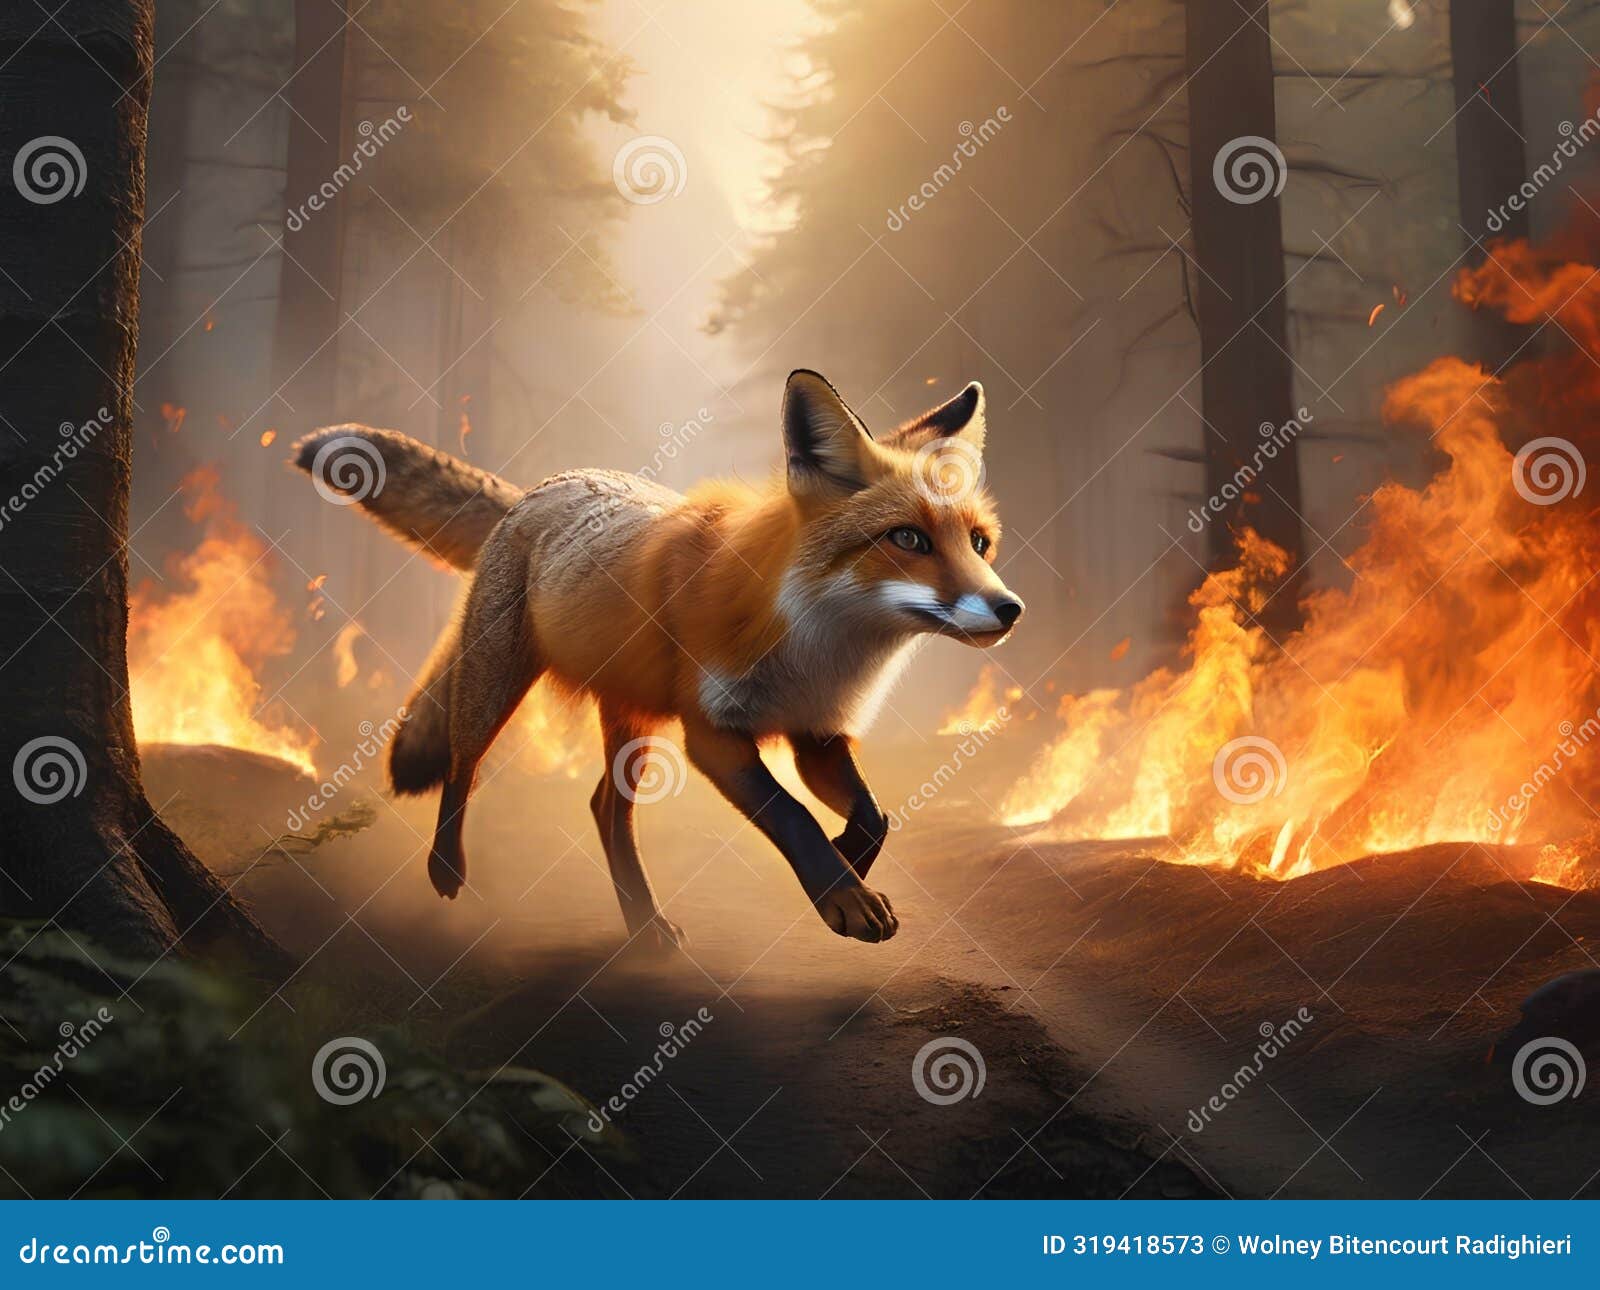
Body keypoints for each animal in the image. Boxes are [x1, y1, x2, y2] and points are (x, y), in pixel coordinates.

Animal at [291, 370, 1023, 949]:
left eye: (978, 543)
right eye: (909, 539)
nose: (1010, 608)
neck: (819, 647)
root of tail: (542, 487)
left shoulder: (816, 733)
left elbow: (873, 818)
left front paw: (848, 868)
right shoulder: (713, 733)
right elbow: (795, 816)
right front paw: (840, 892)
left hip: (633, 720)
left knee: (603, 810)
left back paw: (644, 927)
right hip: (498, 683)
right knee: (463, 762)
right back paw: (447, 871)